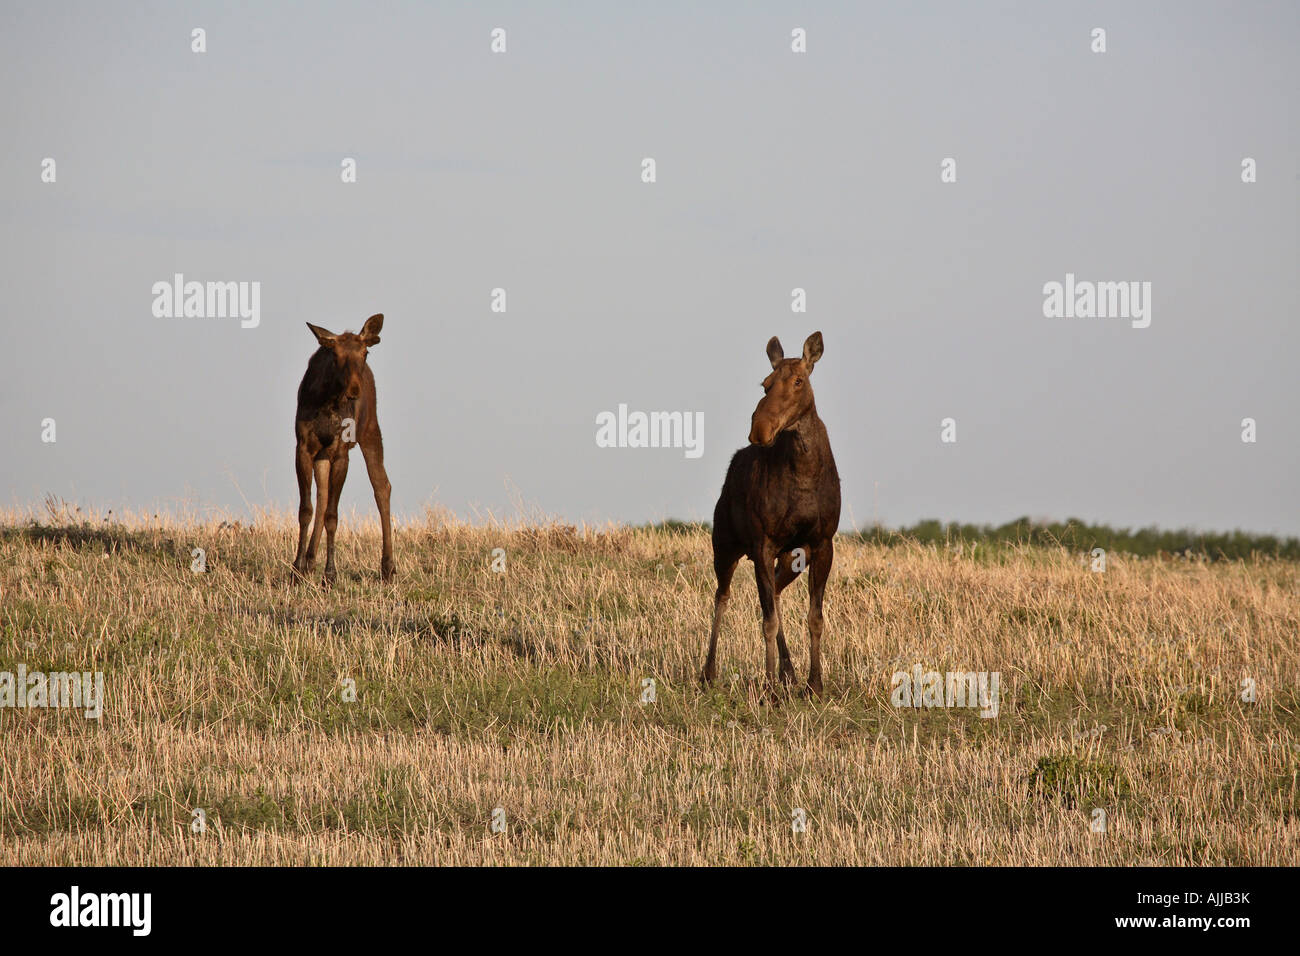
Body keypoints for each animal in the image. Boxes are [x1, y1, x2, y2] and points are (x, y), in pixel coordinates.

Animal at [291, 313, 394, 585]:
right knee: (323, 493)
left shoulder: (340, 452)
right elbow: (306, 509)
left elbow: (332, 516)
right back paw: (309, 561)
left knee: (382, 485)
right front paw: (296, 568)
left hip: (370, 429)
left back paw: (388, 567)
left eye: (365, 352)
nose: (354, 391)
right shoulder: (303, 447)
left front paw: (330, 574)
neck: (327, 403)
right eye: (335, 355)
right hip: (322, 453)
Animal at [703, 331, 841, 700]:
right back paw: (708, 672)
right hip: (725, 546)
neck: (804, 470)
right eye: (765, 384)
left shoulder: (821, 543)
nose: (760, 429)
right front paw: (767, 689)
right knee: (722, 597)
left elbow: (814, 617)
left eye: (798, 381)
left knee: (775, 594)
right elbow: (767, 620)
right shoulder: (762, 543)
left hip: (791, 556)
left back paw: (788, 672)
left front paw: (814, 684)